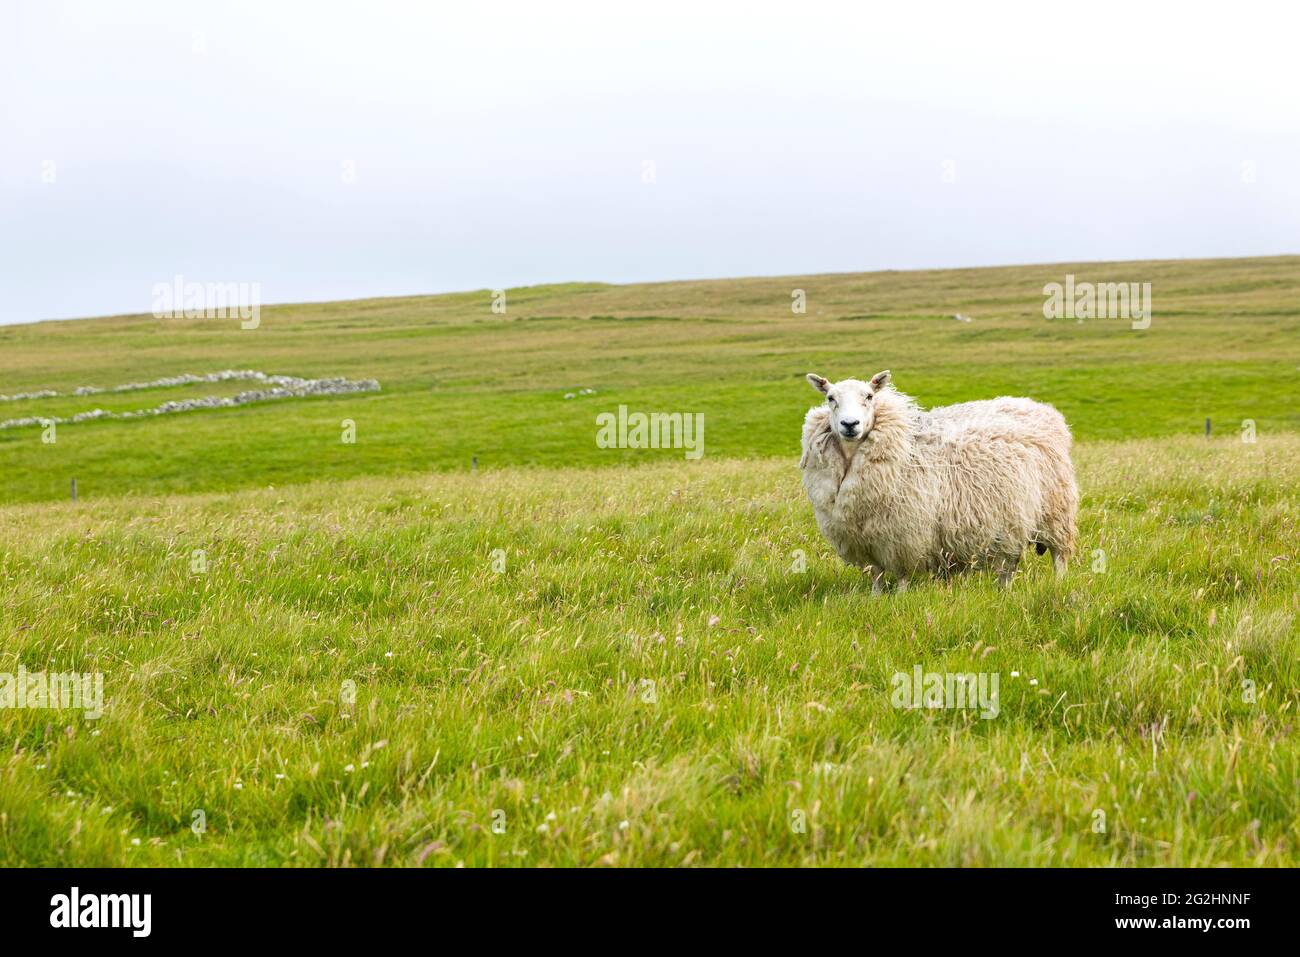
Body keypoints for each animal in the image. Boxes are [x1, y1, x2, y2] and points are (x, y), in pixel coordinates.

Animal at [799, 370, 1077, 591]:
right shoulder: (864, 541)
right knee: (1009, 563)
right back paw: (1004, 592)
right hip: (1013, 520)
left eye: (869, 397)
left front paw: (899, 599)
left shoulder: (903, 536)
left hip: (1055, 511)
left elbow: (901, 576)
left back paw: (1059, 585)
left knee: (1058, 556)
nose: (850, 424)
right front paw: (875, 599)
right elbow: (876, 576)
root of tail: (1043, 409)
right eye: (830, 398)